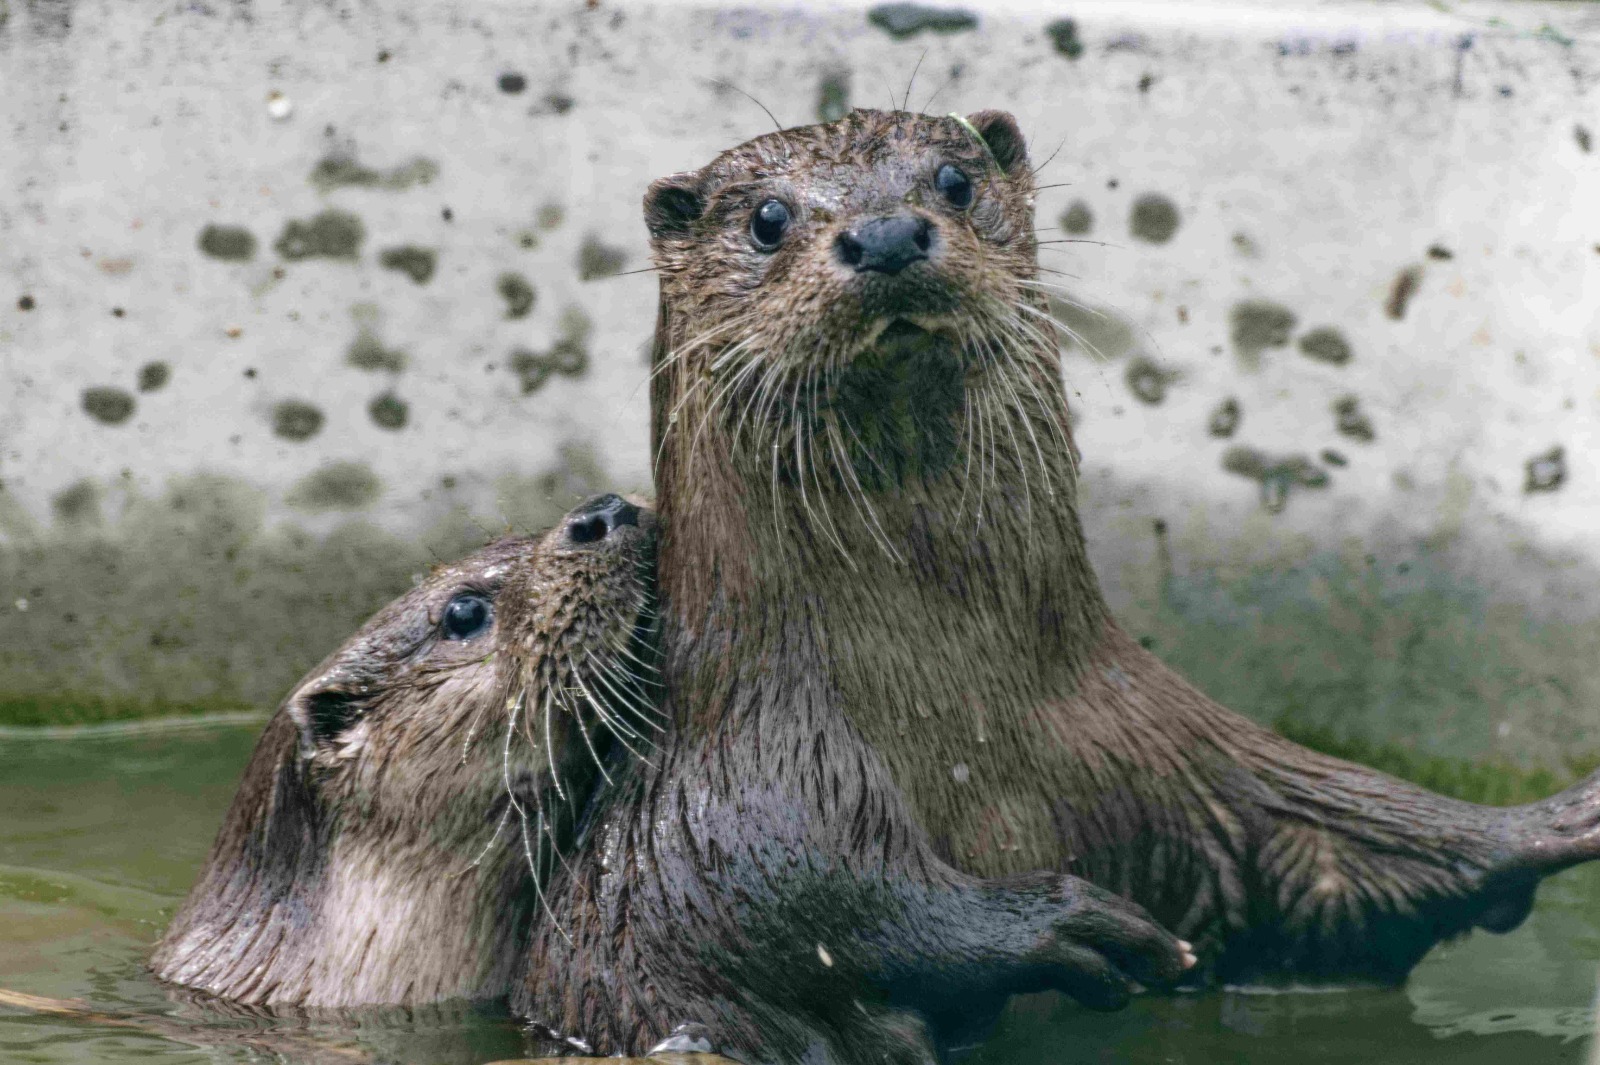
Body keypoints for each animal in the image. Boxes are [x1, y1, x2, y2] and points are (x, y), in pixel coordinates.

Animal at [622, 106, 1600, 988]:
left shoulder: (1167, 744)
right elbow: (823, 905)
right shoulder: (746, 808)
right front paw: (1060, 924)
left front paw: (1547, 819)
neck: (953, 717)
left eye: (954, 181)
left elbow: (1329, 848)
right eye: (767, 218)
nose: (888, 233)